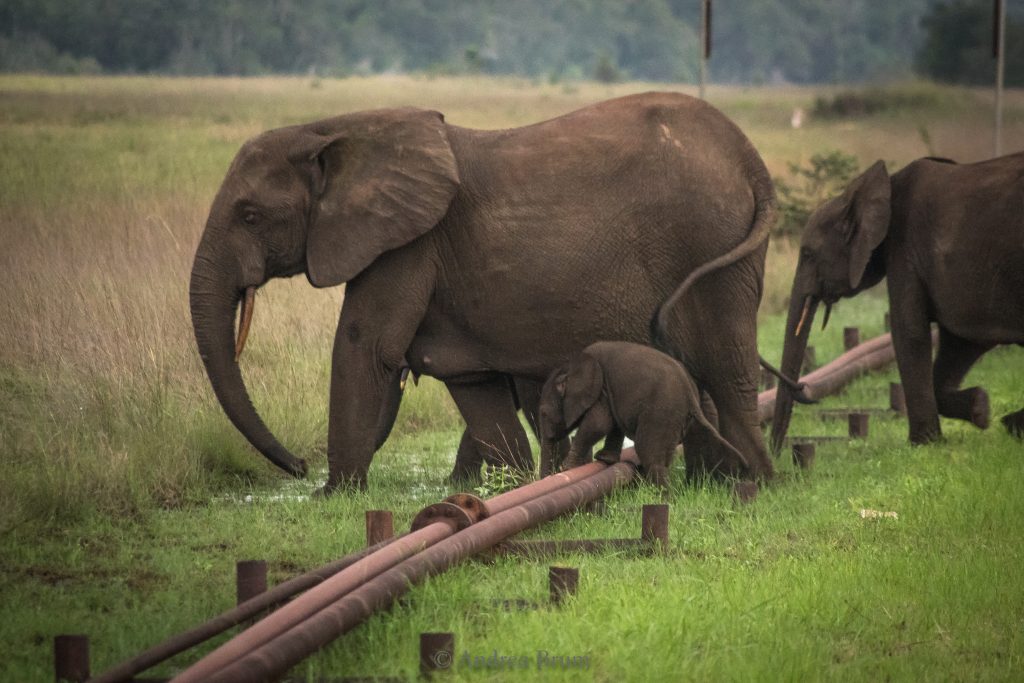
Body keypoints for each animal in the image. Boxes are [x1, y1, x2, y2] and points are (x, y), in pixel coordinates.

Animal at [537, 341, 750, 486]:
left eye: (544, 413)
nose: (549, 476)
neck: (570, 366)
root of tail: (691, 396)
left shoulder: (601, 390)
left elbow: (599, 423)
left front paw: (567, 468)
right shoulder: (610, 392)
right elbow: (612, 425)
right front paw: (605, 459)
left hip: (662, 413)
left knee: (649, 452)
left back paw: (661, 496)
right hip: (676, 418)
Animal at [770, 154, 1024, 452]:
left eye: (808, 254)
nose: (776, 450)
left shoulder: (905, 250)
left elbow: (909, 331)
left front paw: (924, 443)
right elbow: (959, 341)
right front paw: (982, 410)